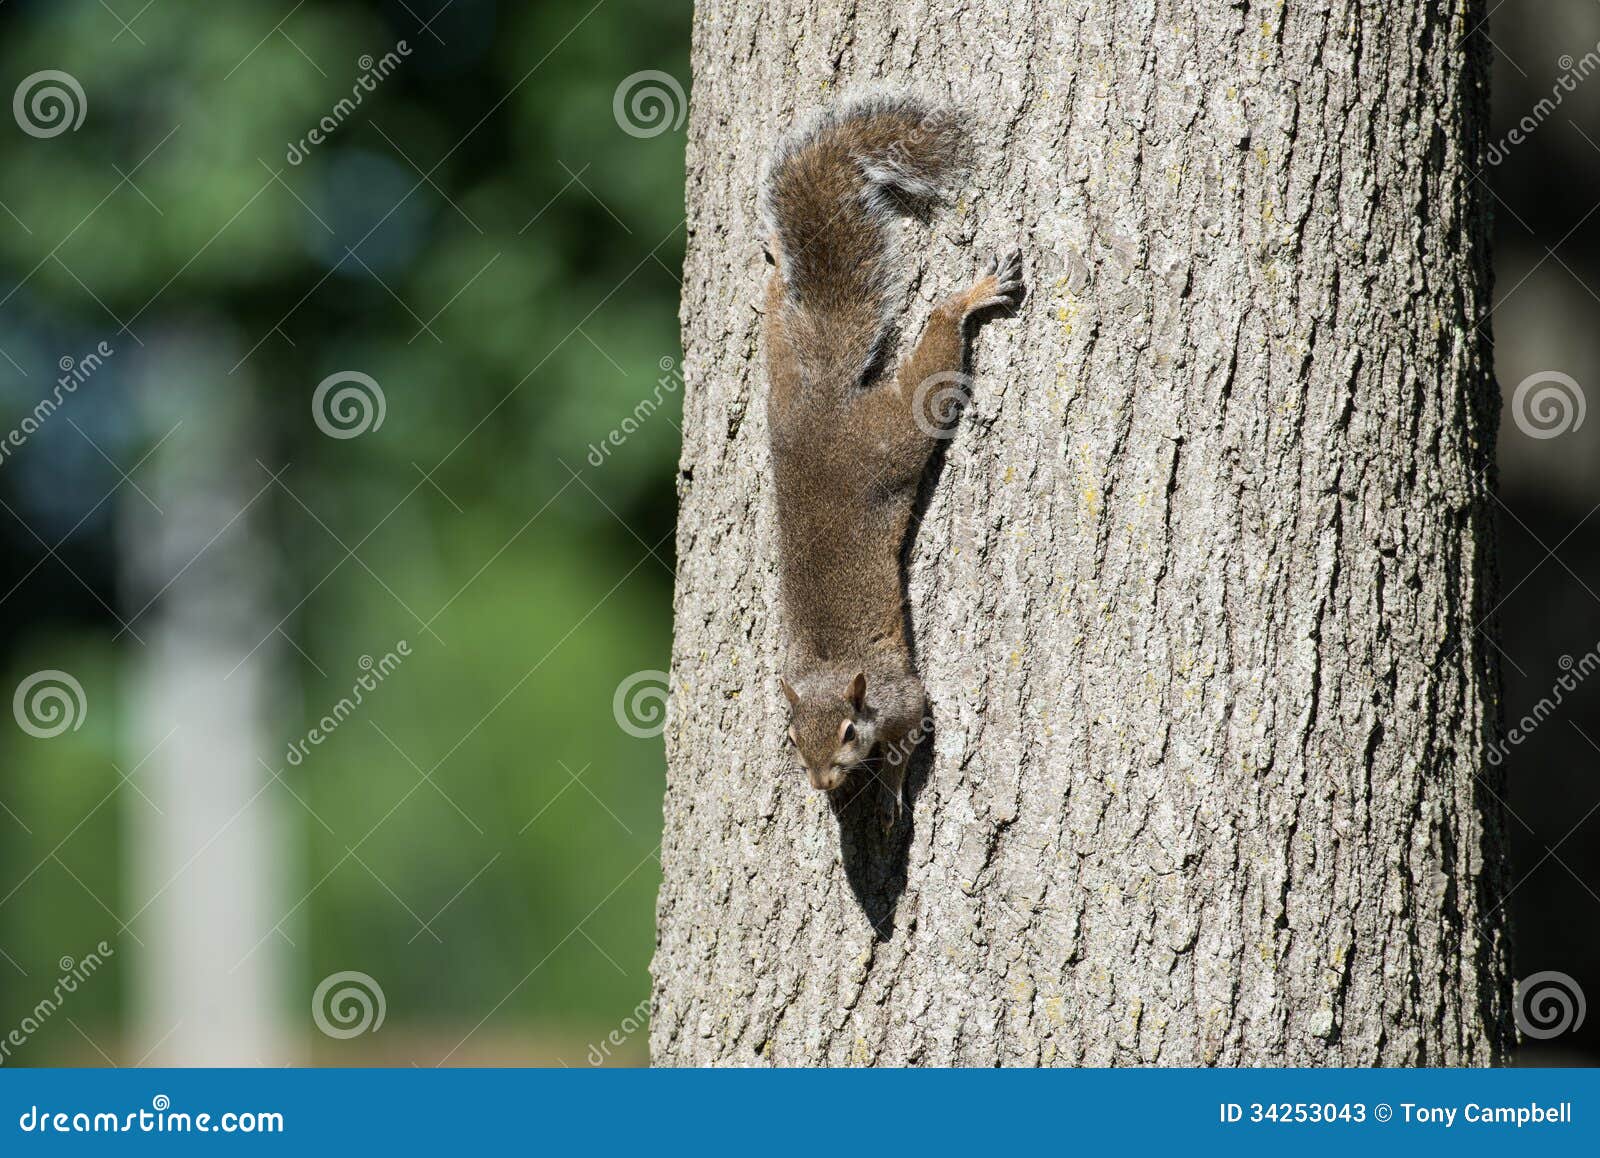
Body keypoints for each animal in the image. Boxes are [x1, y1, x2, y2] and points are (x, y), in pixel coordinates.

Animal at [761, 92, 1024, 830]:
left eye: (850, 732)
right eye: (791, 737)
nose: (820, 781)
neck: (832, 670)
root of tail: (823, 401)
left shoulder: (903, 695)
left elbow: (912, 737)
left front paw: (889, 795)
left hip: (897, 428)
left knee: (934, 347)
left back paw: (969, 297)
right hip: (782, 379)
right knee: (778, 320)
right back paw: (775, 269)